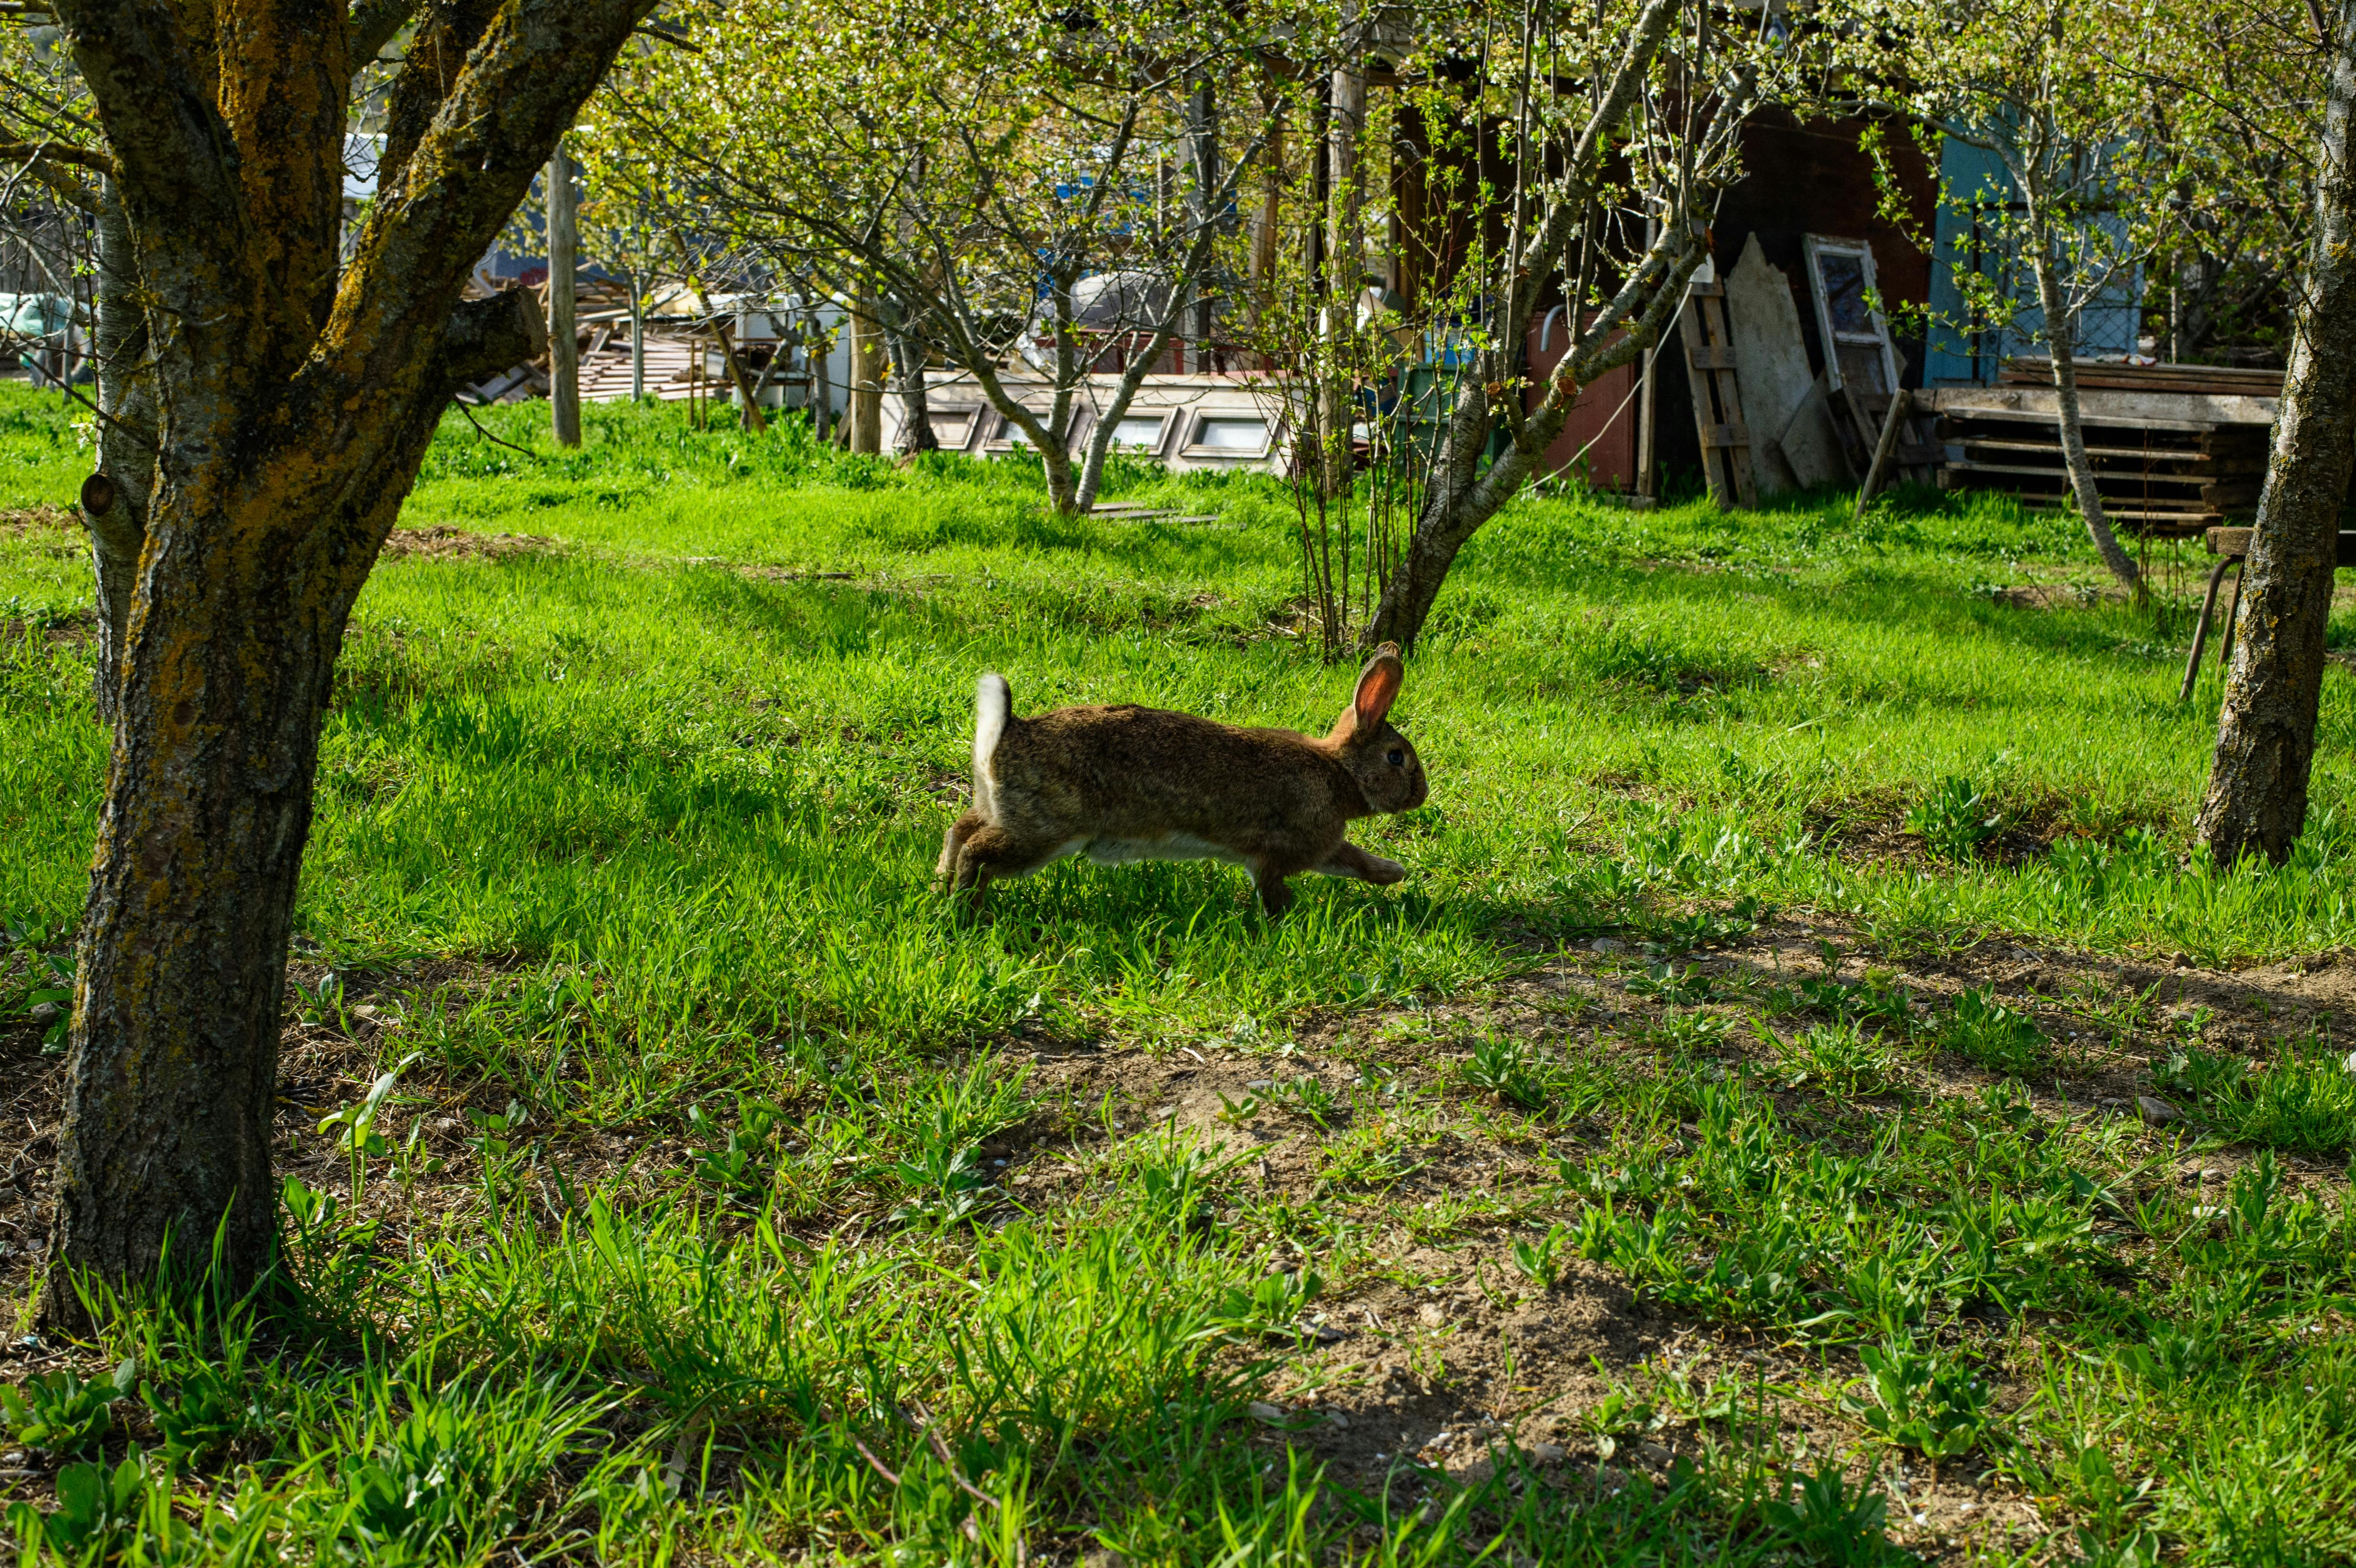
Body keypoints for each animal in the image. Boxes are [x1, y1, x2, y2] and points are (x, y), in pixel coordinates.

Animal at [935, 645, 1427, 919]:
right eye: (1397, 758)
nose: (1421, 795)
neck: (1339, 770)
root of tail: (1007, 732)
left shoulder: (1321, 847)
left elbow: (1354, 861)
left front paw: (1393, 874)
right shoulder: (1280, 854)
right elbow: (1275, 889)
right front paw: (1289, 921)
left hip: (999, 807)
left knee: (960, 830)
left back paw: (941, 886)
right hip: (1046, 831)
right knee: (979, 852)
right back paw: (965, 912)